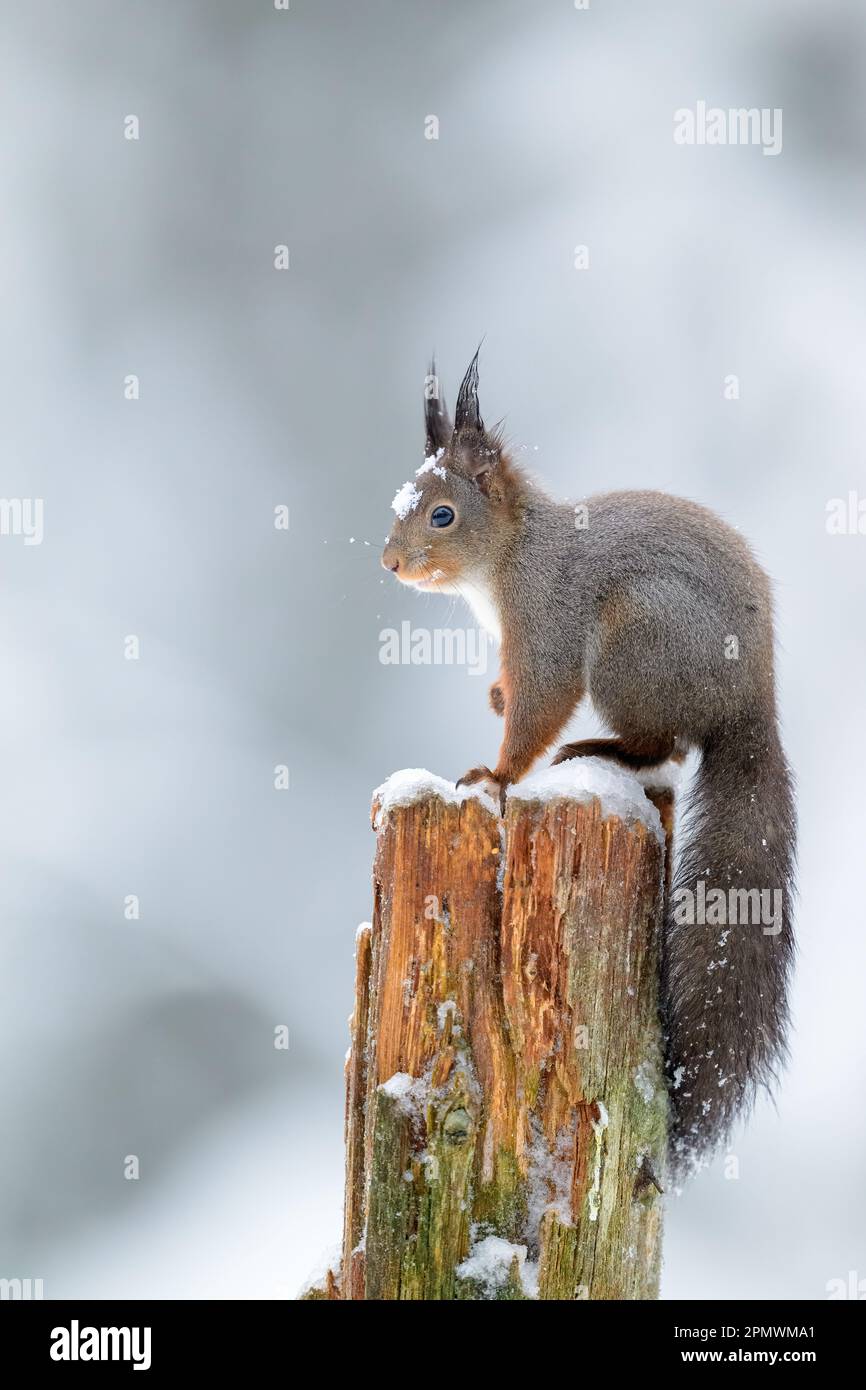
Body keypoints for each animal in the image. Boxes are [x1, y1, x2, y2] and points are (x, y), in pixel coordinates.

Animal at [382, 348, 796, 1167]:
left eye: (442, 515)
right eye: (399, 504)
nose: (391, 563)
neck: (511, 555)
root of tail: (749, 699)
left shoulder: (545, 624)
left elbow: (541, 702)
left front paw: (497, 775)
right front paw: (494, 698)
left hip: (634, 646)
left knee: (663, 745)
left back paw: (598, 746)